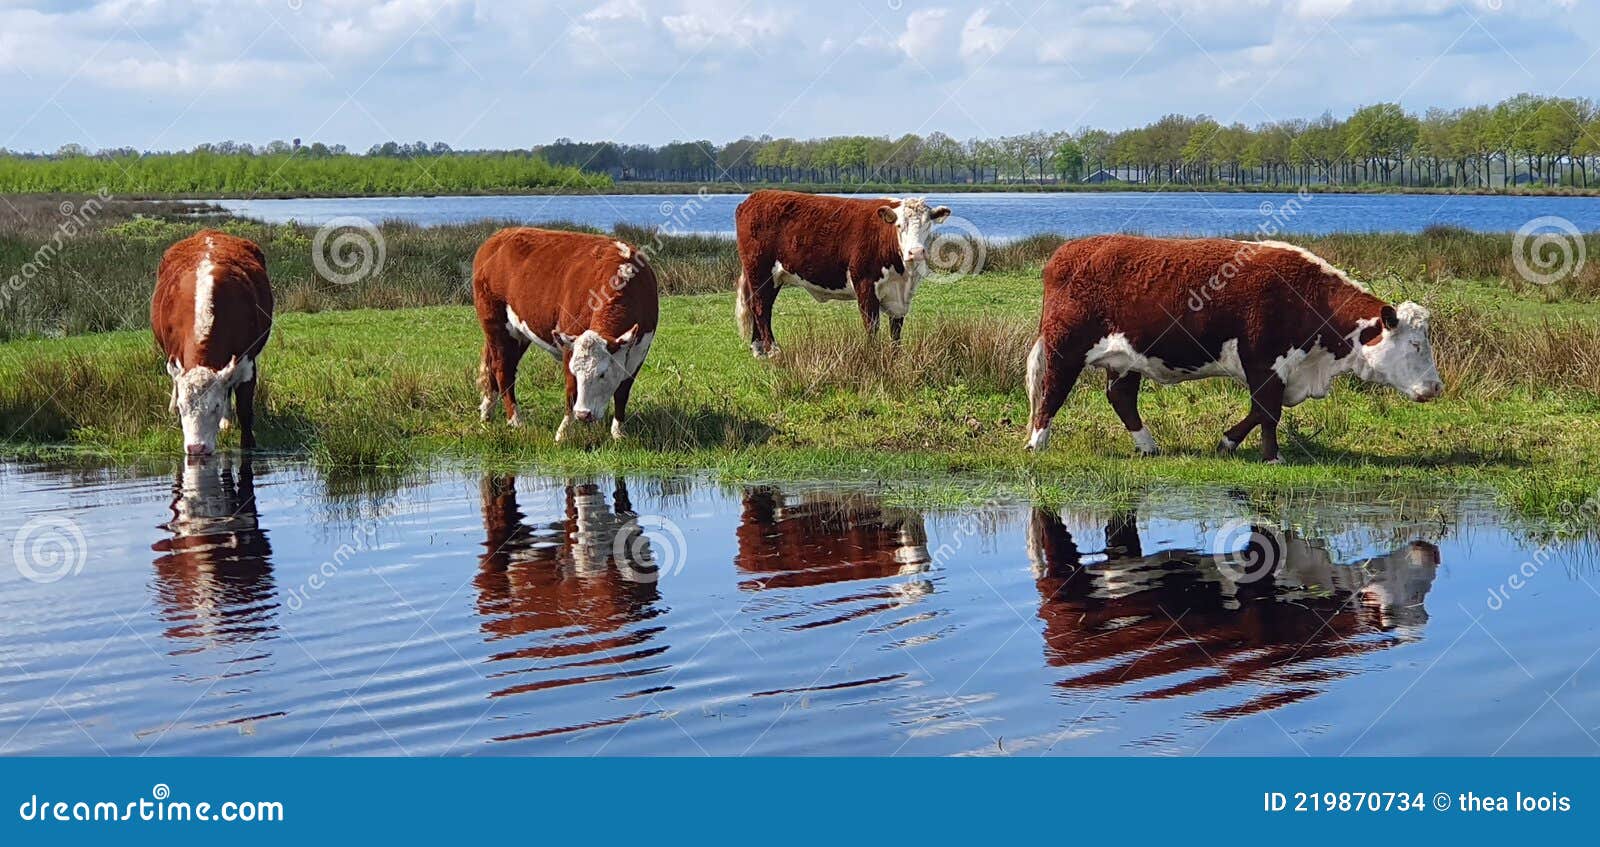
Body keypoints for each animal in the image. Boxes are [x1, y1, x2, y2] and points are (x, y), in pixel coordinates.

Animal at [151, 230, 274, 457]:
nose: (196, 448)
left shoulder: (247, 364)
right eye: (182, 407)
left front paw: (247, 442)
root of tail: (208, 233)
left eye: (215, 406)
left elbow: (244, 410)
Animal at [472, 228, 659, 442]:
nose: (583, 414)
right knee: (503, 370)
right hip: (495, 324)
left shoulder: (639, 351)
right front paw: (563, 431)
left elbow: (622, 392)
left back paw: (487, 413)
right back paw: (515, 421)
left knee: (496, 367)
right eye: (576, 372)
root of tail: (500, 234)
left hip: (518, 334)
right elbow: (571, 390)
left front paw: (618, 432)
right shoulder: (570, 345)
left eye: (602, 373)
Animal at [734, 189, 951, 356]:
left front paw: (896, 357)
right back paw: (773, 351)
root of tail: (757, 196)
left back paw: (759, 349)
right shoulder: (864, 283)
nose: (916, 252)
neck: (903, 275)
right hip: (760, 271)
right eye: (899, 225)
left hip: (772, 278)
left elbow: (896, 329)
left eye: (928, 225)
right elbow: (871, 325)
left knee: (760, 305)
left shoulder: (900, 296)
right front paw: (873, 355)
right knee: (760, 307)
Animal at [1025, 235, 1444, 462]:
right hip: (1065, 348)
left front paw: (1229, 442)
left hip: (1125, 358)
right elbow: (1267, 410)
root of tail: (1068, 251)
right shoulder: (1264, 360)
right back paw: (1036, 442)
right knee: (1052, 393)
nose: (1436, 388)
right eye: (1415, 345)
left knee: (1121, 397)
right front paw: (1270, 456)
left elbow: (1261, 410)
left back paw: (1147, 446)